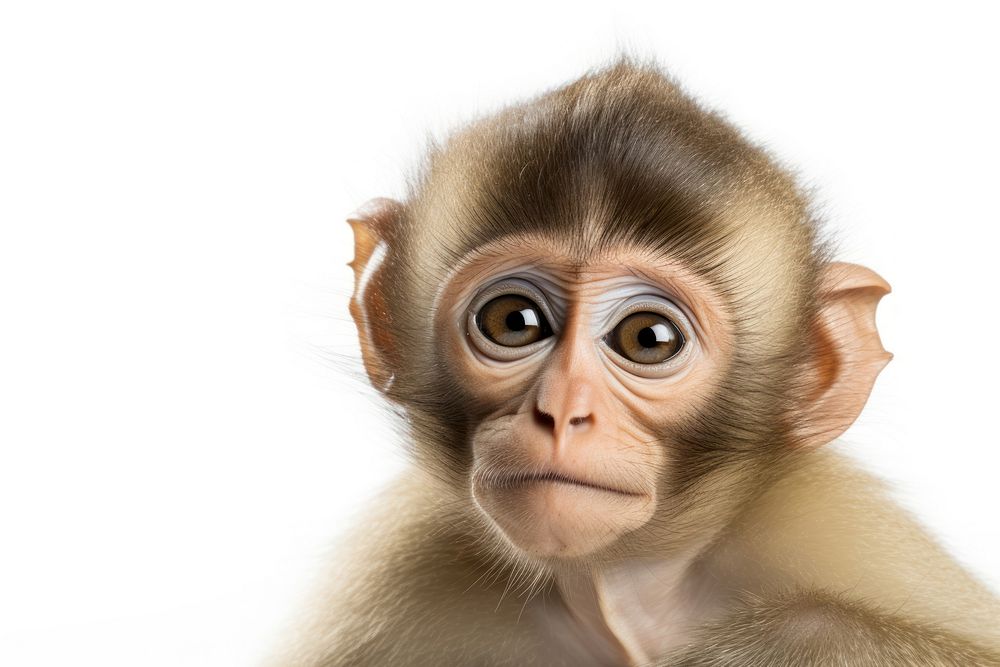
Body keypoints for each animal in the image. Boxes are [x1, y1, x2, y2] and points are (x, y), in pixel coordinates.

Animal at [273, 56, 1000, 666]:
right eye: (513, 321)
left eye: (647, 338)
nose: (563, 410)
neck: (621, 598)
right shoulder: (400, 572)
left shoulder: (833, 527)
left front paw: (788, 641)